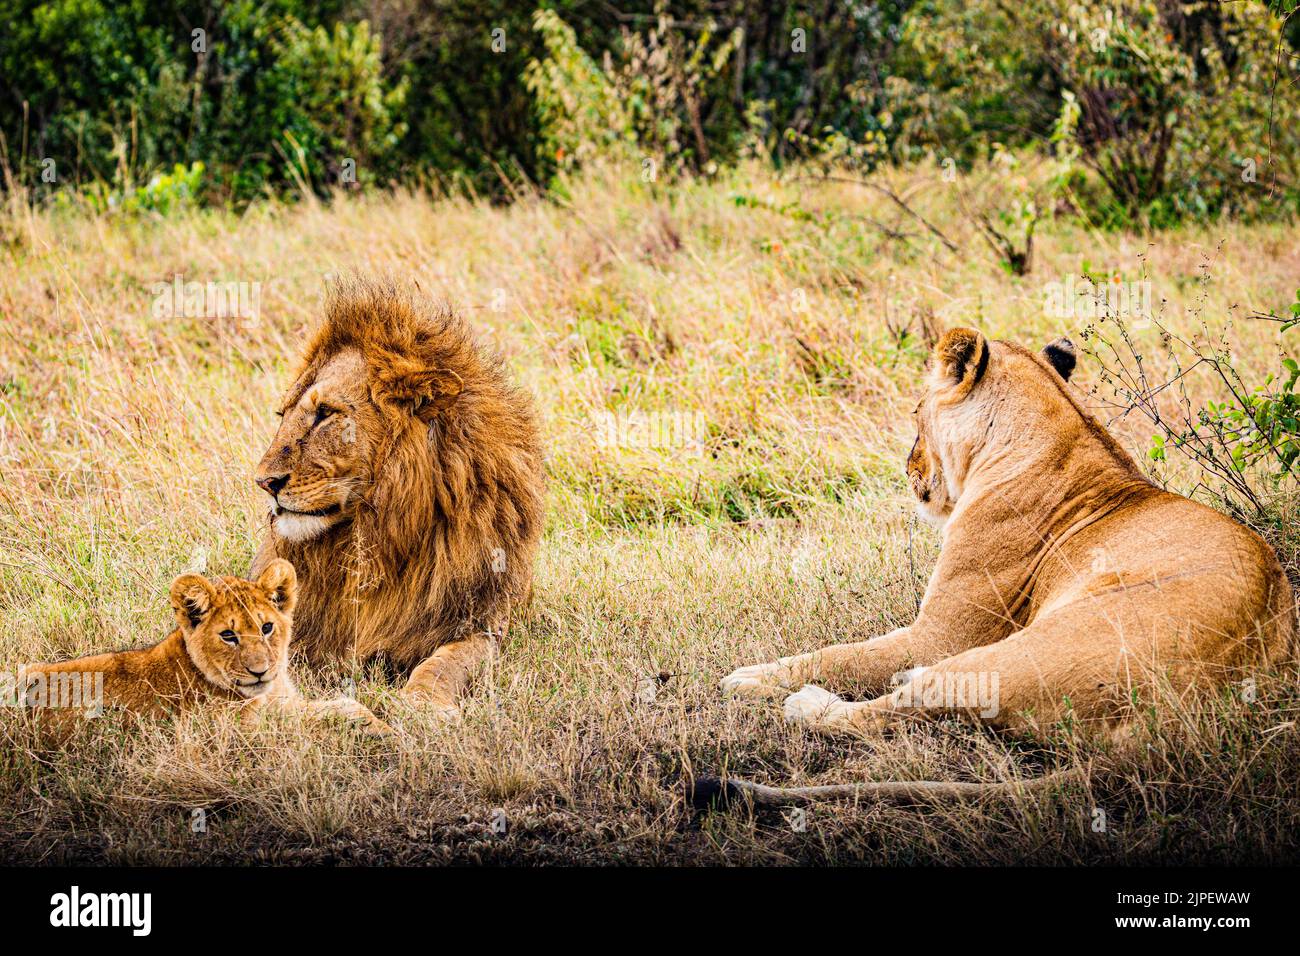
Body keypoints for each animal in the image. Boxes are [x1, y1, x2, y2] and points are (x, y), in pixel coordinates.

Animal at [18, 560, 392, 736]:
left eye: (267, 627)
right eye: (228, 635)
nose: (260, 671)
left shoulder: (286, 704)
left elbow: (347, 705)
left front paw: (384, 726)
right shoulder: (243, 733)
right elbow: (314, 725)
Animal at [250, 279, 545, 718]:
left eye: (325, 414)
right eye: (282, 415)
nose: (264, 481)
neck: (377, 535)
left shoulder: (484, 621)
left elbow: (445, 664)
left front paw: (423, 706)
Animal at [722, 328, 1295, 743]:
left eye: (915, 415)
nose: (907, 467)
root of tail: (1194, 710)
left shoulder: (942, 635)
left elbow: (840, 654)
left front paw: (751, 677)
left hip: (1006, 657)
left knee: (893, 710)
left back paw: (804, 704)